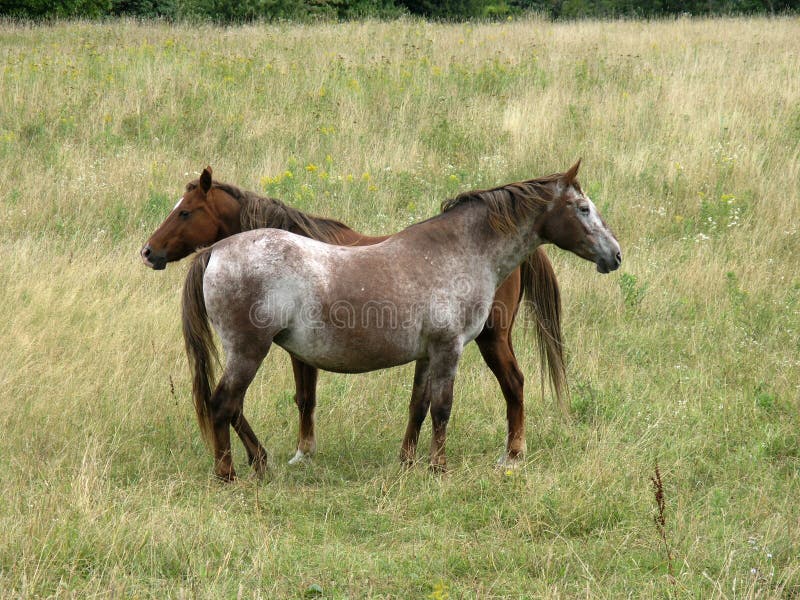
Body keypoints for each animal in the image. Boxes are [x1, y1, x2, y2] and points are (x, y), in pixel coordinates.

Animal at [179, 161, 621, 480]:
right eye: (584, 209)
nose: (615, 255)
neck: (459, 250)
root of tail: (215, 250)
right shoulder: (449, 348)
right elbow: (442, 407)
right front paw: (438, 467)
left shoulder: (427, 353)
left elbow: (419, 405)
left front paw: (409, 462)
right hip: (248, 352)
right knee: (223, 404)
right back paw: (229, 472)